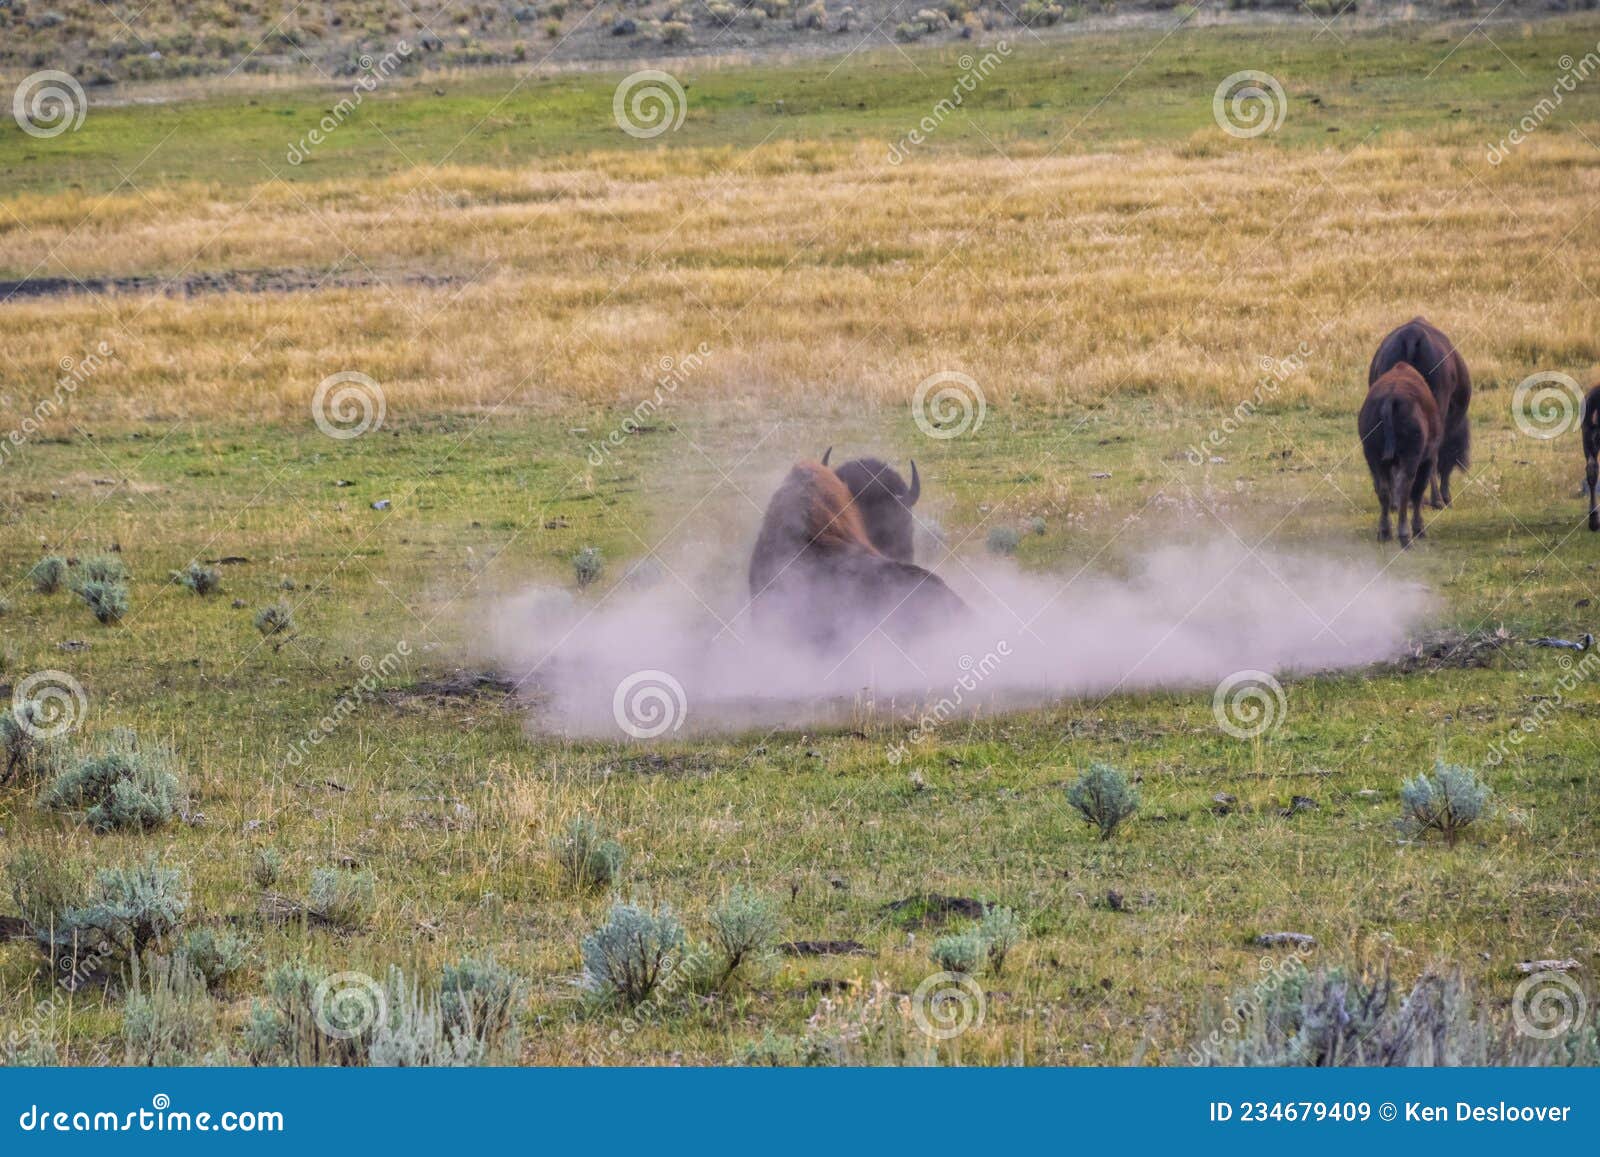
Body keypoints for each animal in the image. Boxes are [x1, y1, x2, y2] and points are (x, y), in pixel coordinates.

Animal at [1359, 364, 1442, 547]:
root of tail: (1391, 398)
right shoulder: (1427, 459)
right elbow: (1418, 492)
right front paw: (1419, 529)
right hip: (1411, 460)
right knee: (1406, 489)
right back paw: (1405, 536)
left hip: (1373, 457)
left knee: (1383, 490)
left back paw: (1384, 532)